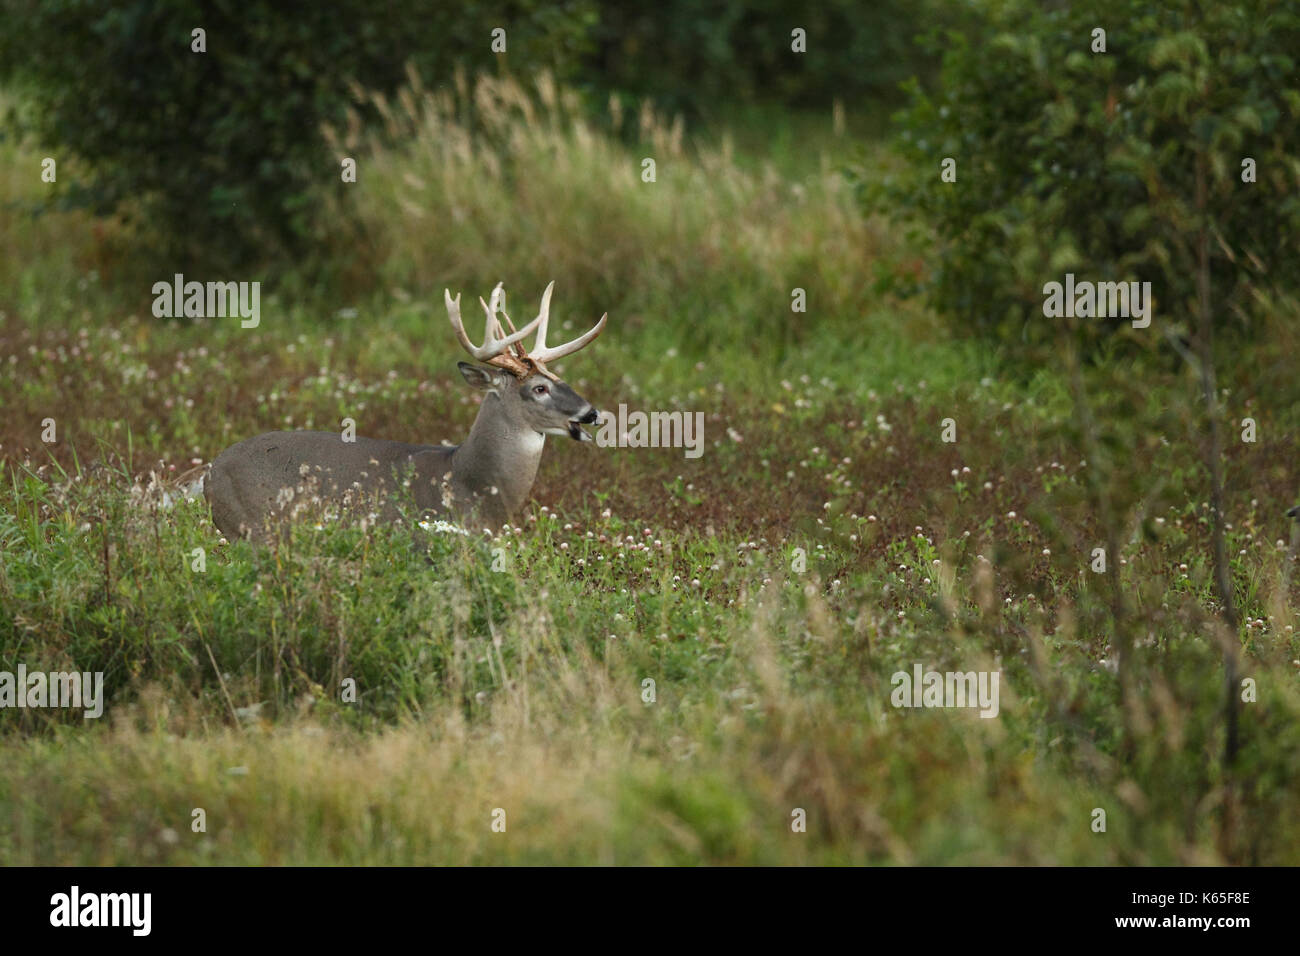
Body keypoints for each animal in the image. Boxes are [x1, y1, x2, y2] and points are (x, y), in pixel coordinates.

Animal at [204, 281, 607, 539]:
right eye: (538, 388)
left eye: (559, 377)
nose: (591, 413)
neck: (468, 481)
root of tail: (208, 474)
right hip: (254, 527)